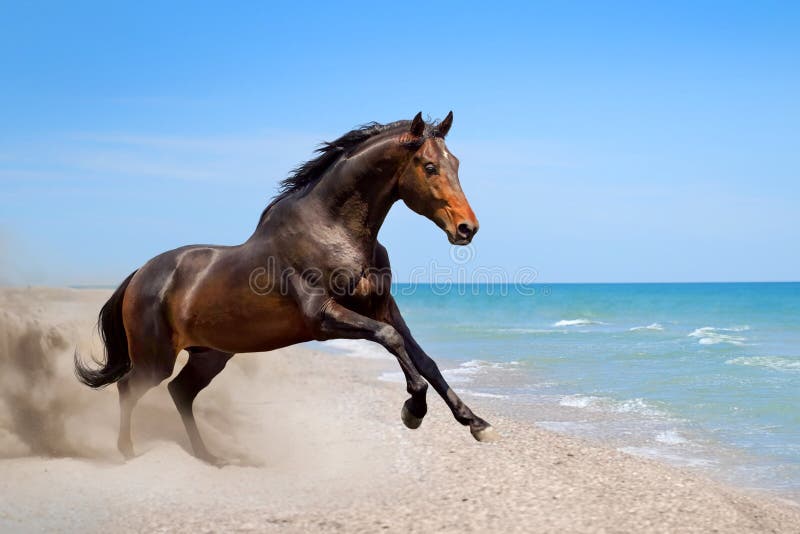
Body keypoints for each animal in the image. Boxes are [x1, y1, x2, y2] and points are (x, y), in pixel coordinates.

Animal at [75, 112, 496, 464]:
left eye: (456, 164)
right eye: (430, 167)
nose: (467, 228)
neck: (333, 230)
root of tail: (140, 274)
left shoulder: (382, 307)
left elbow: (424, 360)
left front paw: (477, 423)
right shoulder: (323, 318)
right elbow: (391, 340)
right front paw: (413, 412)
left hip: (210, 355)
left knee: (181, 391)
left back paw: (207, 457)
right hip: (154, 358)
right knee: (129, 388)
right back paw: (127, 452)